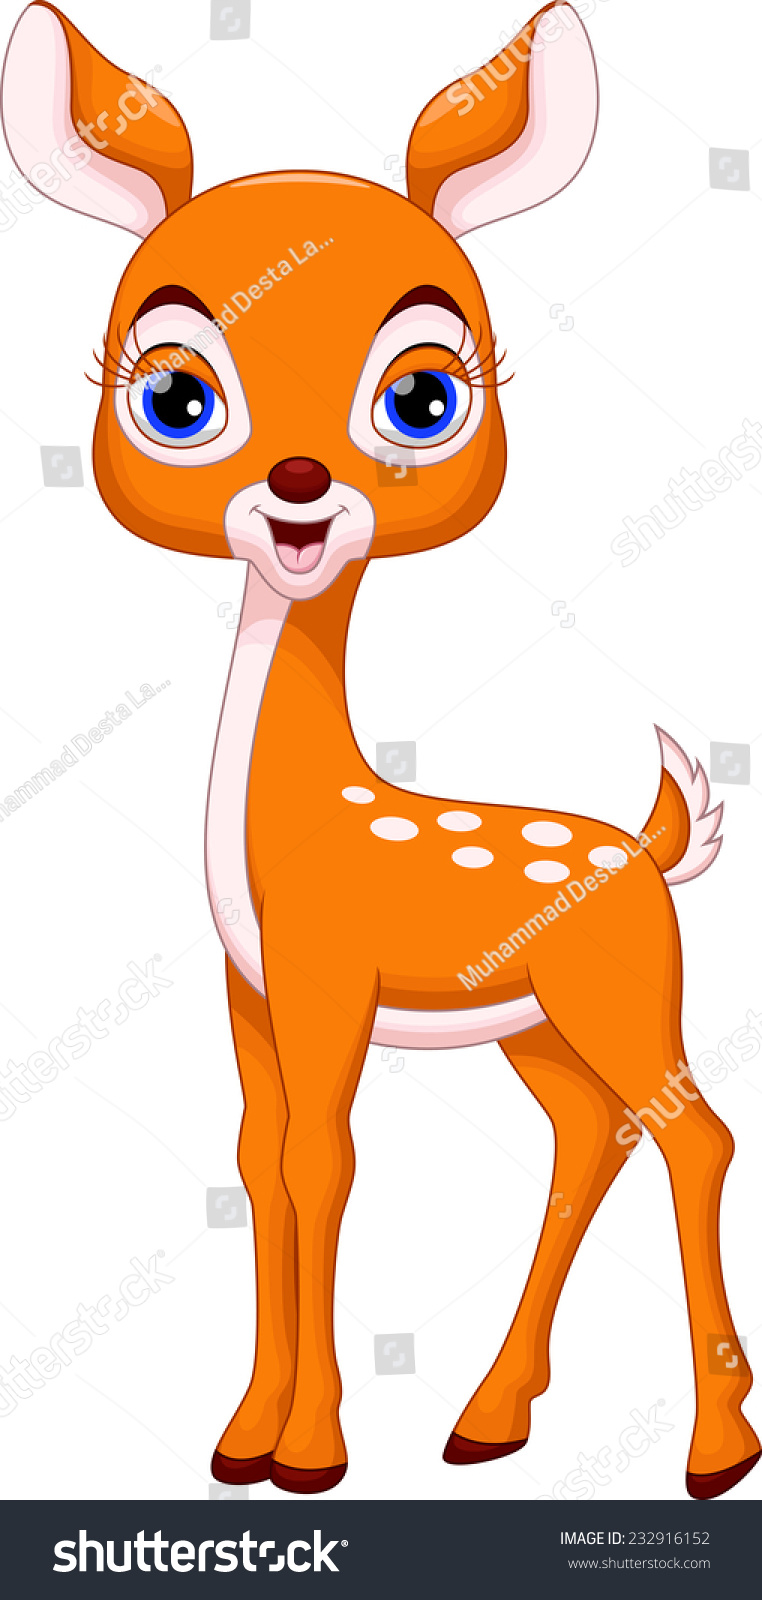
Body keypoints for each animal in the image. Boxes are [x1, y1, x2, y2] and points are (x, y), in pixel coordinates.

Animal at [2, 0, 758, 1501]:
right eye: (175, 395)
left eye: (422, 397)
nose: (298, 490)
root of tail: (650, 852)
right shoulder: (248, 988)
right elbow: (257, 1158)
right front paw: (238, 1441)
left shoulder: (327, 974)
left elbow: (321, 1162)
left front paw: (308, 1454)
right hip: (539, 1027)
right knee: (588, 1138)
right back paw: (488, 1419)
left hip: (622, 989)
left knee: (692, 1131)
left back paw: (714, 1449)